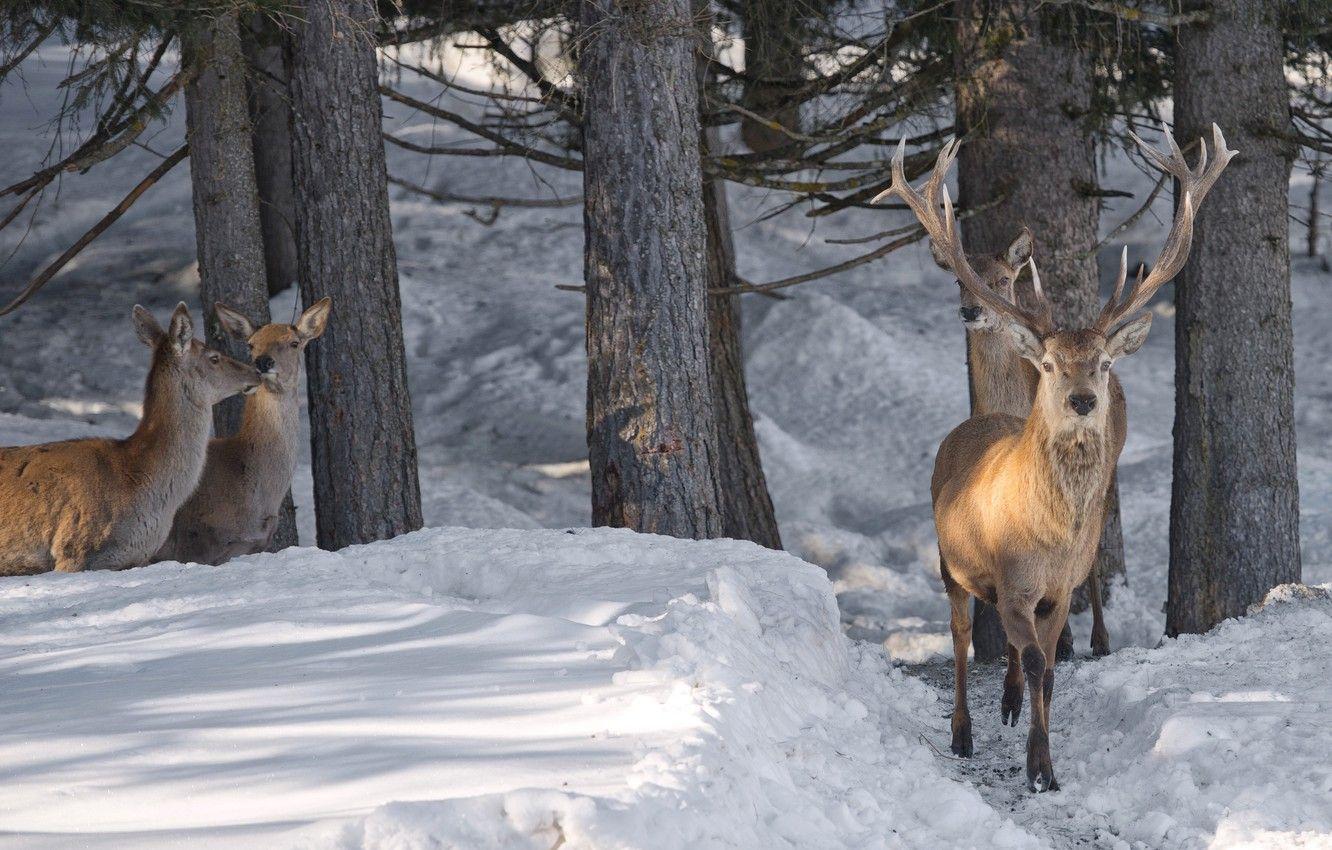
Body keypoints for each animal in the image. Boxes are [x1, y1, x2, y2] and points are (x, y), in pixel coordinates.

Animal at [879, 125, 1233, 791]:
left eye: (1103, 361)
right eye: (1047, 363)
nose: (1083, 399)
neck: (1049, 536)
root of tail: (974, 421)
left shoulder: (1056, 590)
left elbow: (1047, 666)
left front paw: (1043, 762)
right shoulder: (1014, 581)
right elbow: (1033, 654)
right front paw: (1035, 764)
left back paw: (1013, 700)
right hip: (947, 563)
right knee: (961, 637)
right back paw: (963, 731)